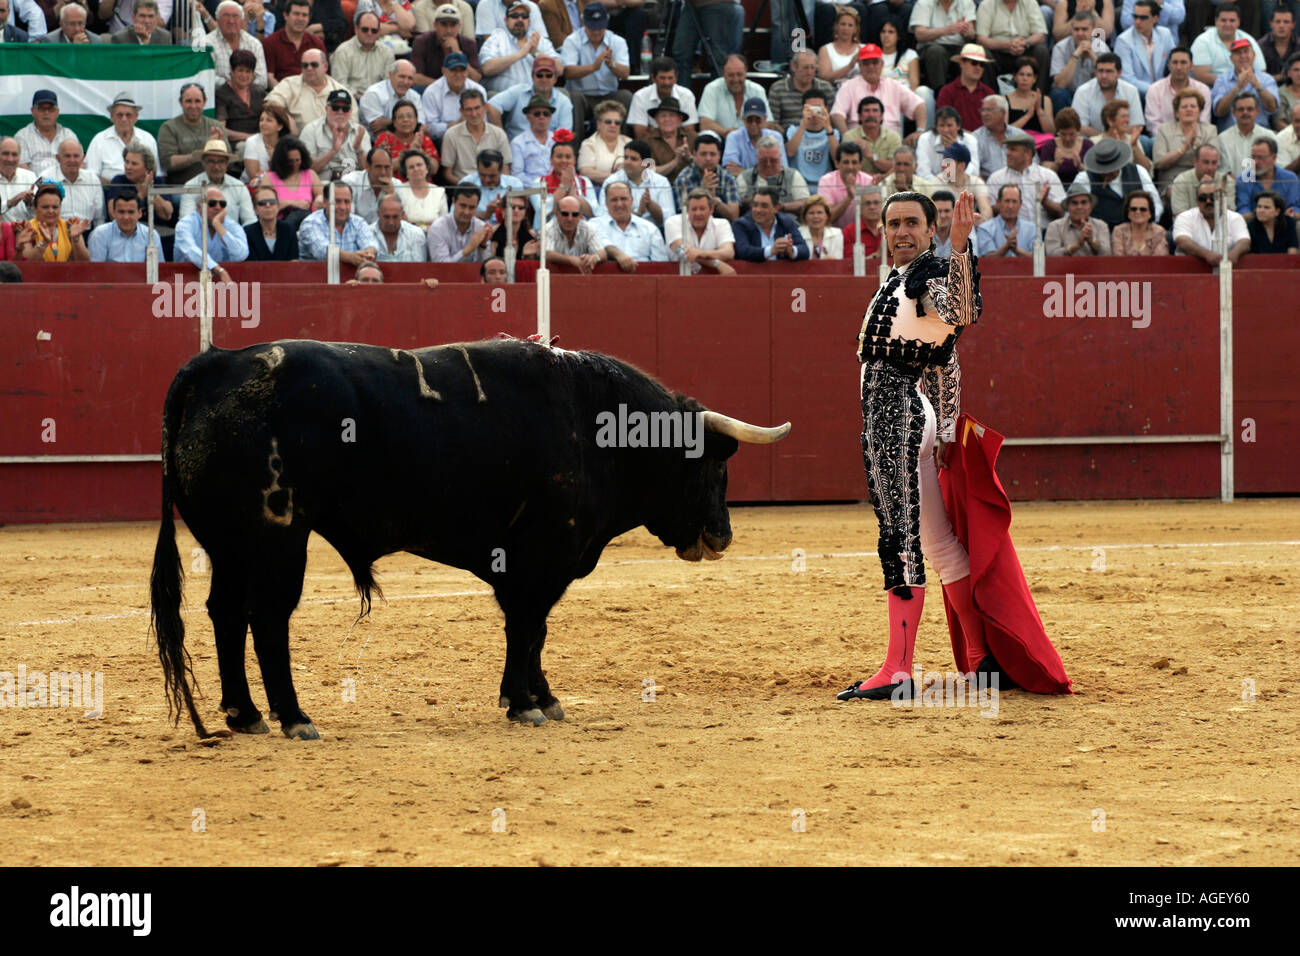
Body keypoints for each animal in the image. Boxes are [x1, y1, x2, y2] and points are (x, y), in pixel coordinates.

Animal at [150, 338, 790, 739]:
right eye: (714, 466)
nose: (722, 535)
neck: (596, 424)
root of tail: (217, 364)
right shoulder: (543, 556)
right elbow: (528, 625)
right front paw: (526, 704)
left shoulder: (531, 564)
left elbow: (534, 631)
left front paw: (539, 698)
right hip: (279, 535)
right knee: (268, 617)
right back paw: (293, 717)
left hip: (228, 541)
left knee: (225, 613)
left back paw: (243, 714)